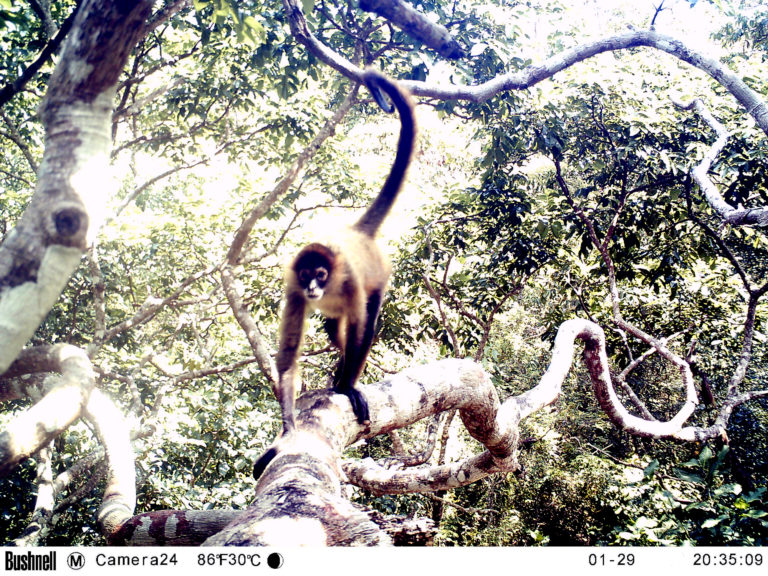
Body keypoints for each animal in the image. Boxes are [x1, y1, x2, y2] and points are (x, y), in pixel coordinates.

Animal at [253, 70, 416, 480]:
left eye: (321, 274)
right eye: (306, 275)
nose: (313, 286)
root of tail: (355, 232)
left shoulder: (352, 281)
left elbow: (361, 329)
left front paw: (347, 387)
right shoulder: (293, 292)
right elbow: (288, 356)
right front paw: (287, 430)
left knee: (364, 323)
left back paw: (345, 379)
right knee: (332, 328)